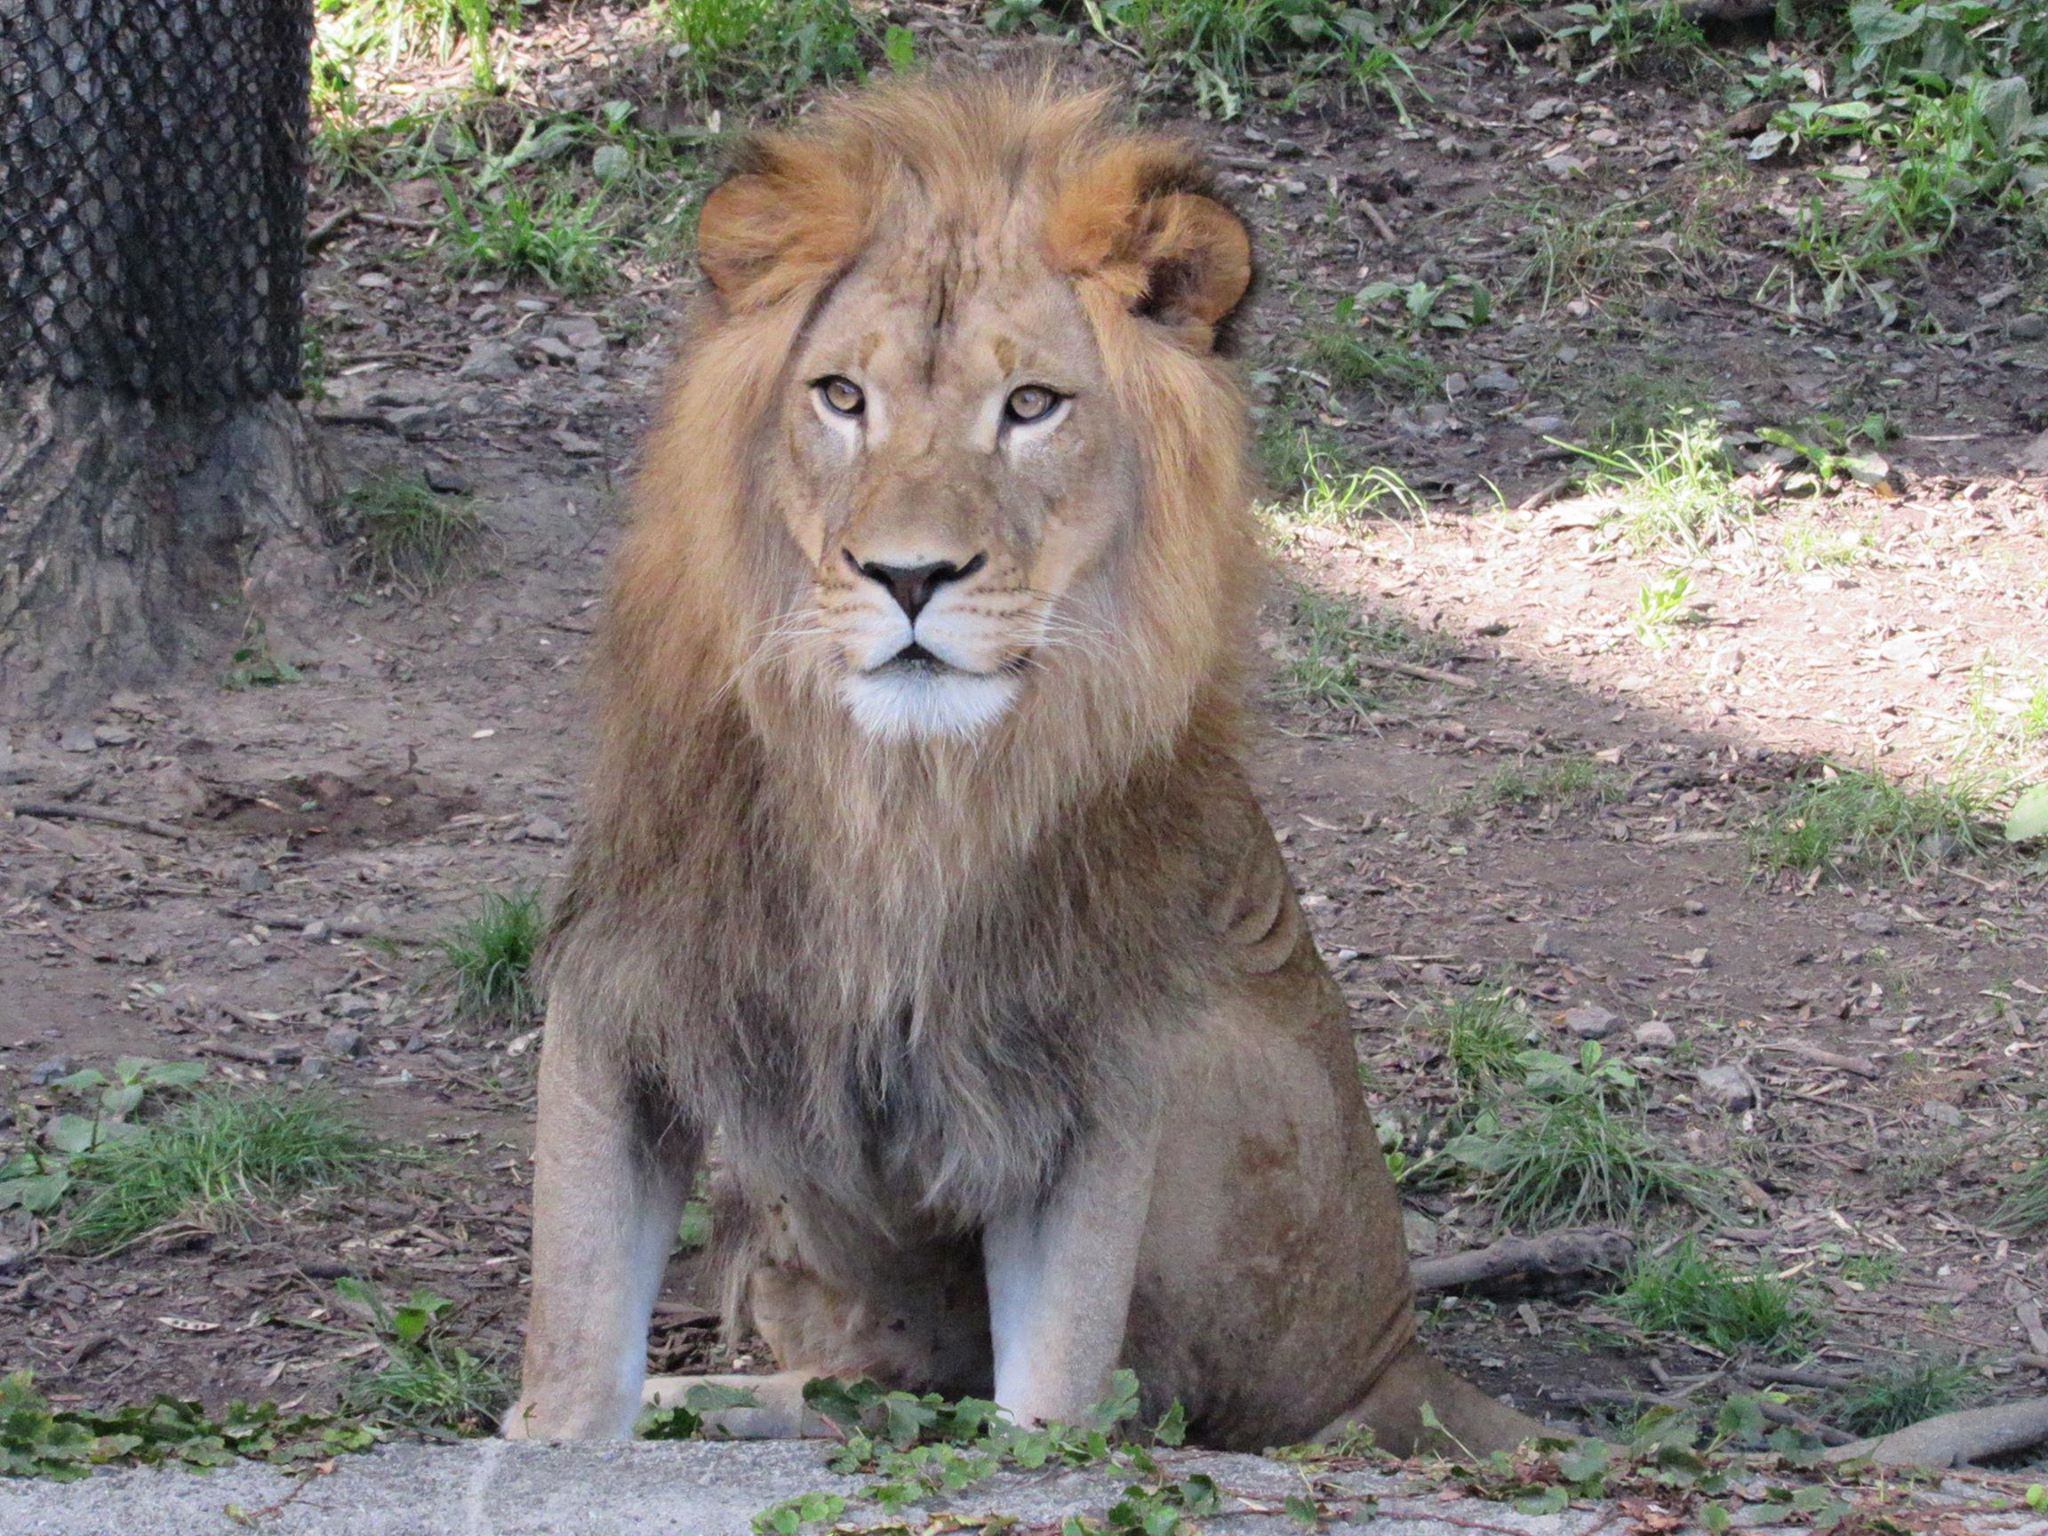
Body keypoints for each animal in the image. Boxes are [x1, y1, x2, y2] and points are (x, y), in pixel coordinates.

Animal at [505, 70, 1546, 1457]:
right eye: (841, 397)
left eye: (1031, 406)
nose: (909, 576)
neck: (898, 794)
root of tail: (1392, 1346)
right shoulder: (630, 972)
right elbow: (572, 1345)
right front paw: (557, 1429)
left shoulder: (1089, 1060)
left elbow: (1049, 1408)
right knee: (877, 1379)